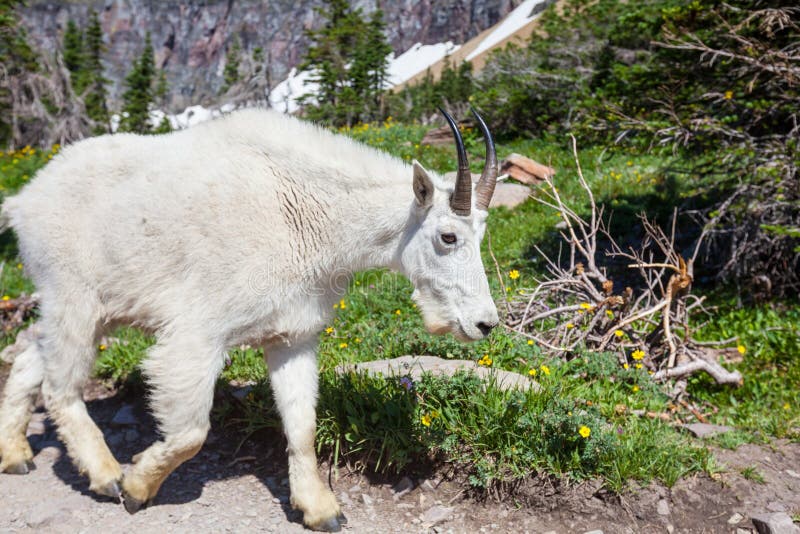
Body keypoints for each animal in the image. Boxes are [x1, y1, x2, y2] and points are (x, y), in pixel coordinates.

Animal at [0, 107, 499, 531]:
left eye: (482, 235)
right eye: (448, 236)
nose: (485, 324)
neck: (307, 214)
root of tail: (24, 199)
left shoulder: (293, 336)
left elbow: (302, 425)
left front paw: (320, 509)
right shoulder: (198, 333)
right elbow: (191, 433)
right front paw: (137, 487)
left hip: (96, 307)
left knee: (30, 349)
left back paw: (16, 452)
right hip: (74, 296)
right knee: (60, 386)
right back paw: (104, 475)